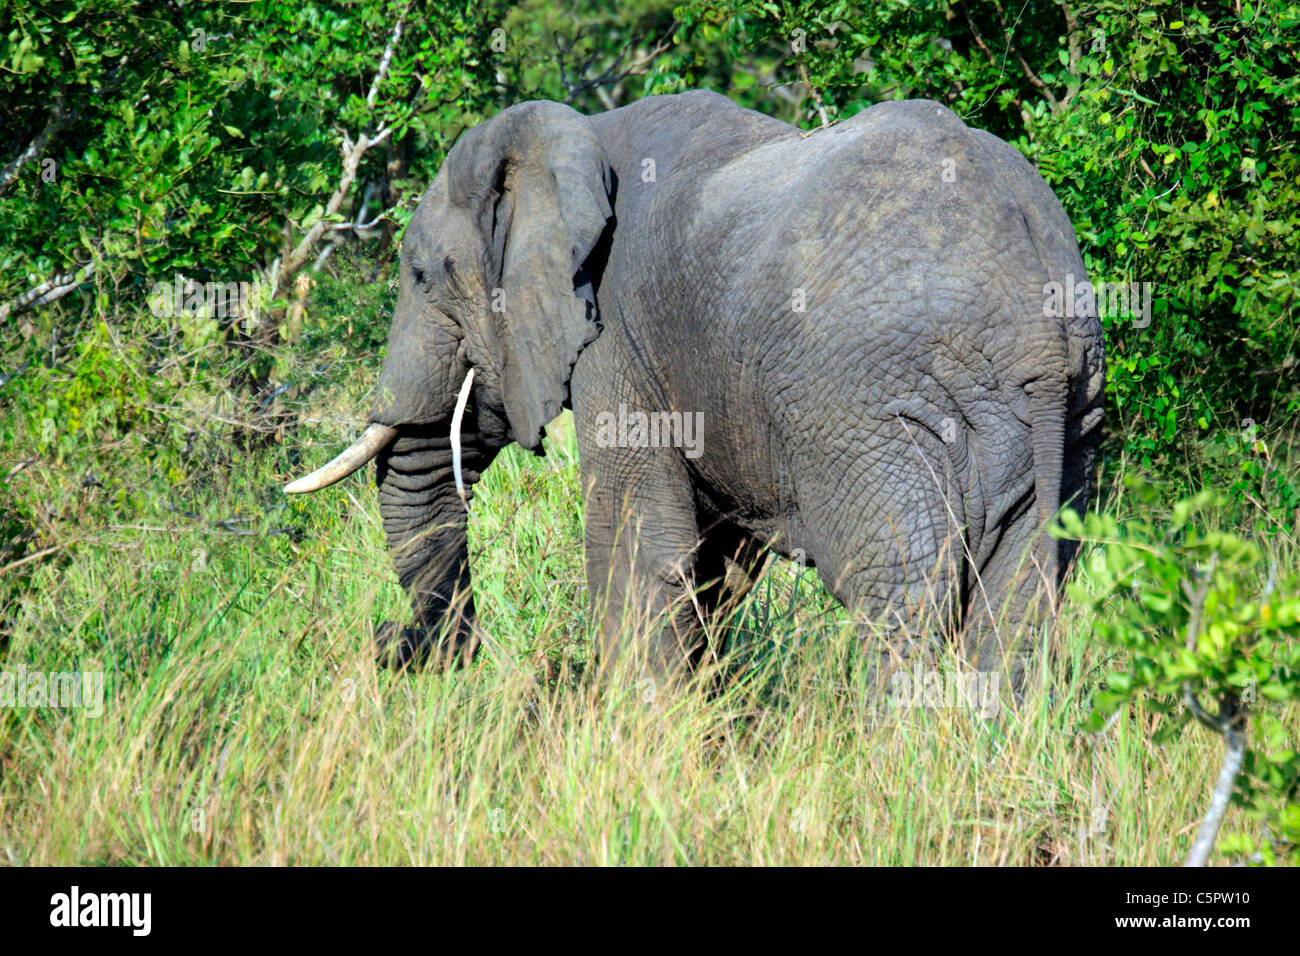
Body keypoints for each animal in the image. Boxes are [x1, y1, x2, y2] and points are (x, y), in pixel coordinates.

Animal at [285, 90, 1105, 688]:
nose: (389, 644)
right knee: (1020, 601)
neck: (574, 136)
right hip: (1069, 418)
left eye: (422, 274)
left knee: (901, 592)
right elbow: (712, 566)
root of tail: (1036, 324)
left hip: (868, 410)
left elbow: (637, 541)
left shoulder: (616, 338)